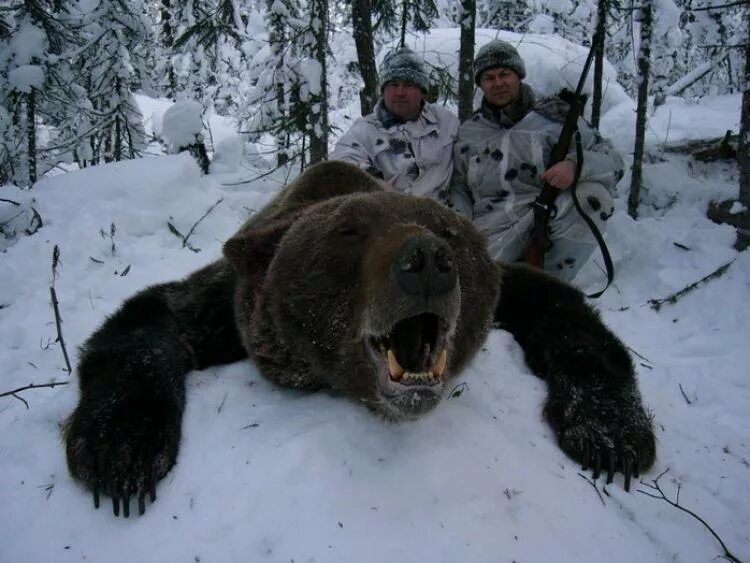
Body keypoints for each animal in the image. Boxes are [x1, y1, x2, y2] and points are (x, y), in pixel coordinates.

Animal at [64, 161, 656, 516]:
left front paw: (612, 435)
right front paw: (121, 453)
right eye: (348, 231)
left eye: (448, 230)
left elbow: (563, 312)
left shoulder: (511, 289)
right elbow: (151, 320)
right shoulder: (230, 304)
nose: (427, 261)